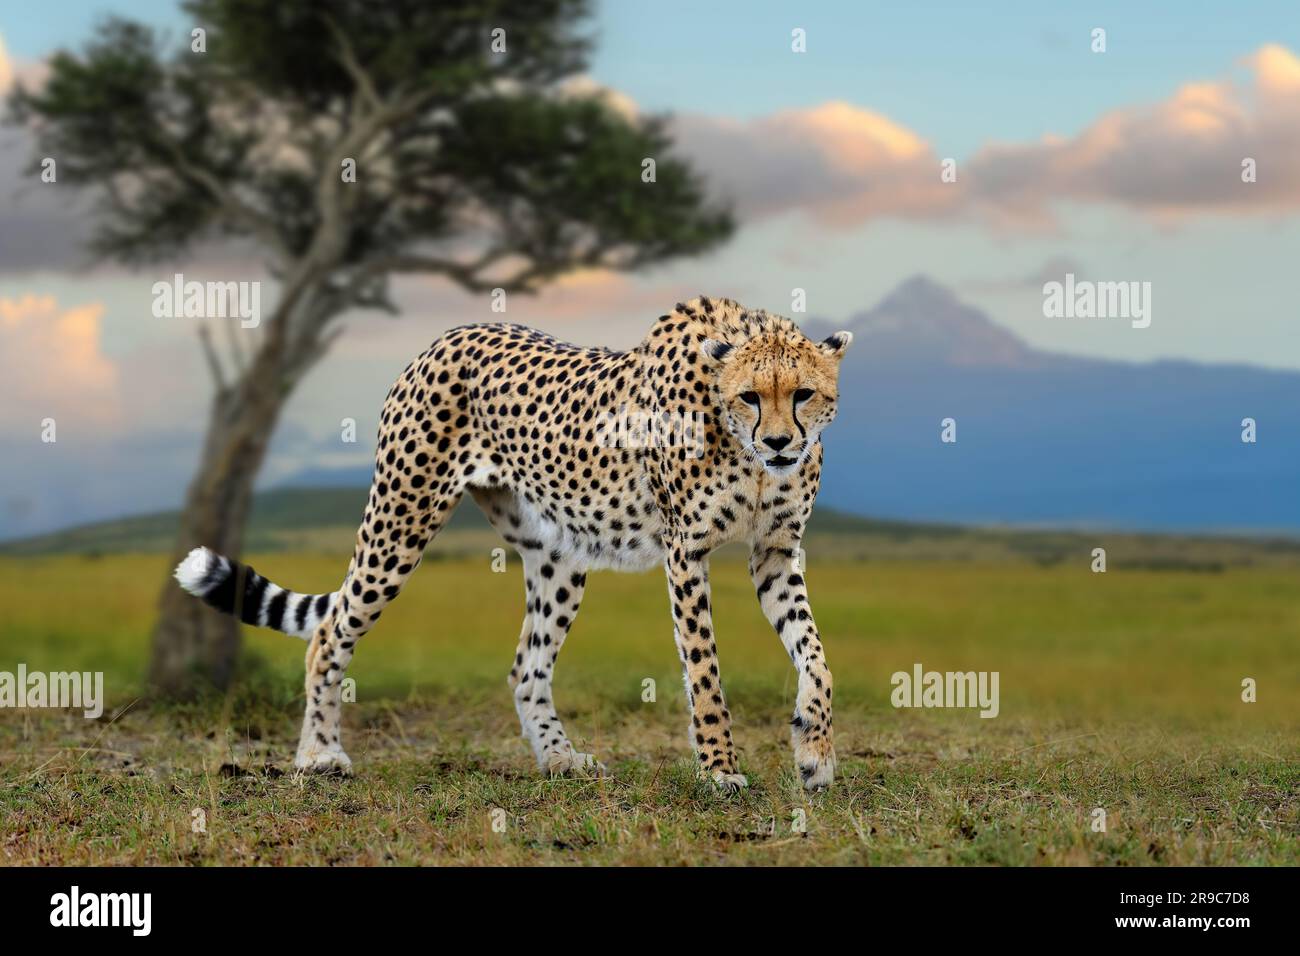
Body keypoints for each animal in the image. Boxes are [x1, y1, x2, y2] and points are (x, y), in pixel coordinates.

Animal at [174, 296, 853, 792]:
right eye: (749, 396)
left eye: (803, 393)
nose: (780, 444)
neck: (746, 454)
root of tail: (450, 334)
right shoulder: (686, 553)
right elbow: (705, 670)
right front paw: (719, 769)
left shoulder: (776, 552)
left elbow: (817, 656)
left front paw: (814, 752)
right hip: (400, 520)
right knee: (329, 631)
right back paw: (319, 754)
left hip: (558, 555)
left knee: (526, 664)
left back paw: (559, 759)